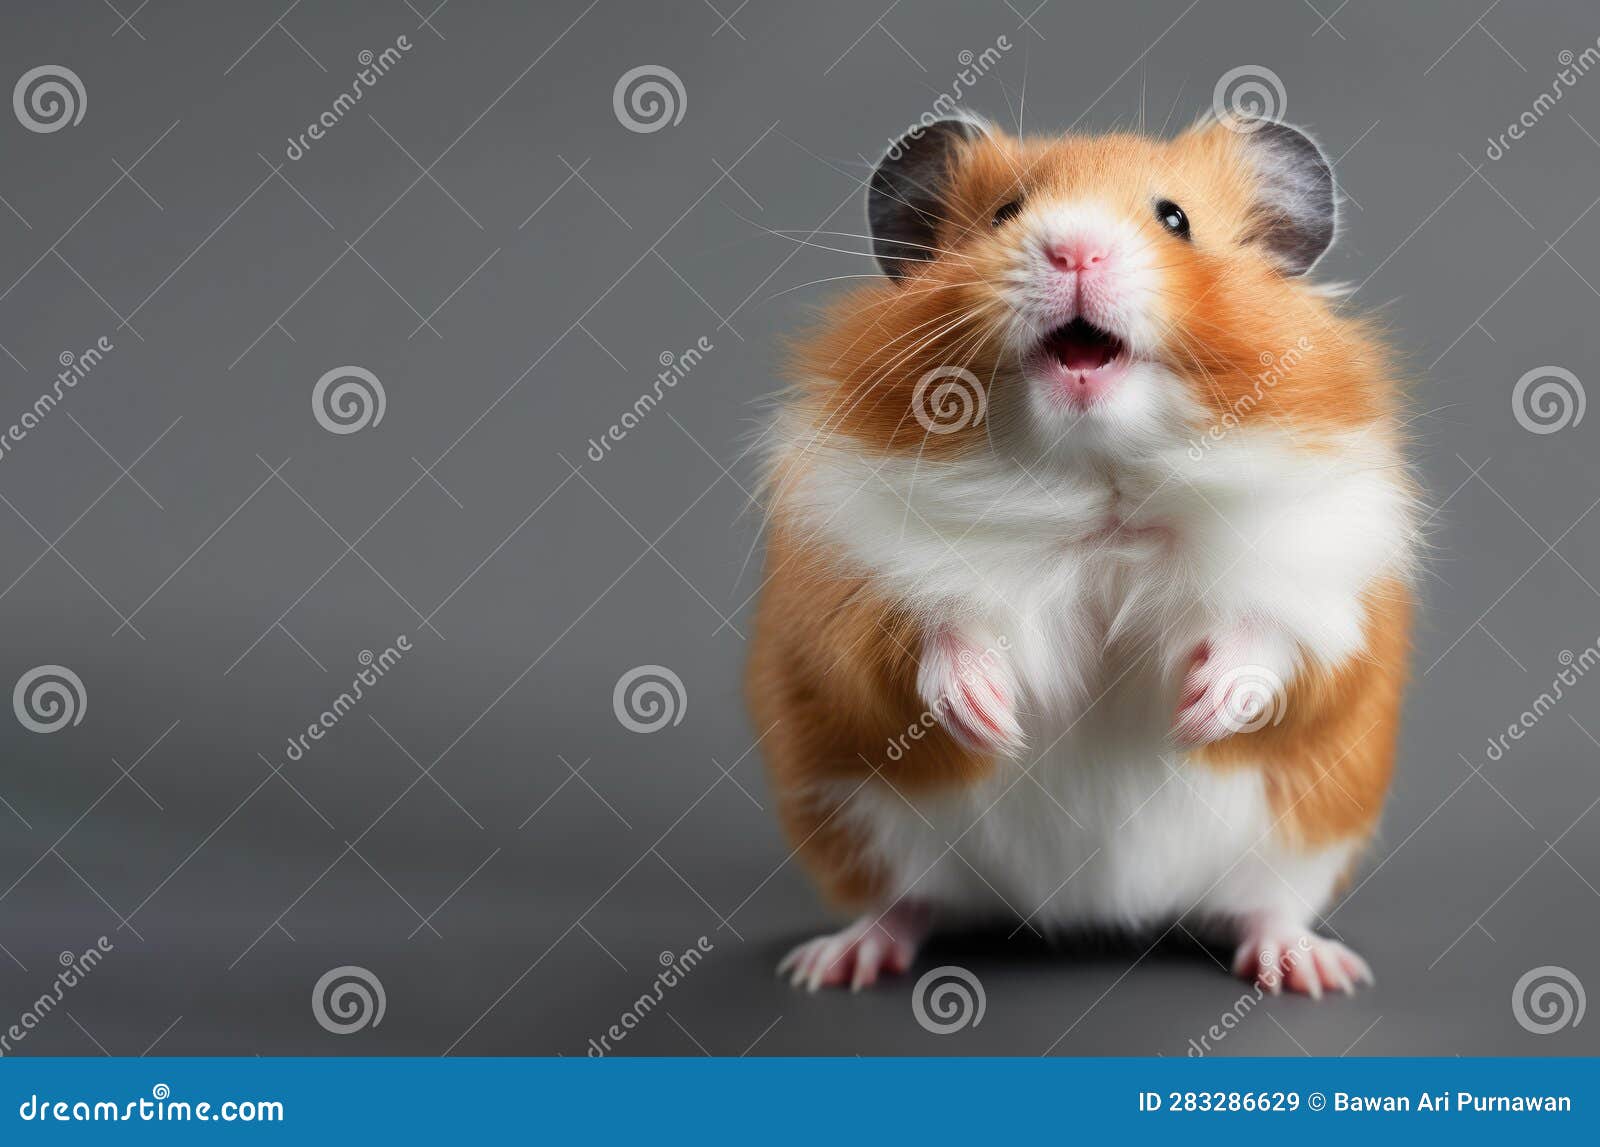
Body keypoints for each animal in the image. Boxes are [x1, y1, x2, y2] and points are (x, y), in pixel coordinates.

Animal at [747, 111, 1418, 998]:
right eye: (1004, 212)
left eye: (1175, 218)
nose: (1074, 250)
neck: (1100, 494)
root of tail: (1077, 910)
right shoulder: (850, 583)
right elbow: (931, 637)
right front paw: (991, 720)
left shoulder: (1324, 585)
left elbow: (1265, 643)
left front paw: (1196, 710)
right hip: (855, 828)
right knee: (908, 903)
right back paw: (834, 963)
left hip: (1302, 846)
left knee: (1265, 907)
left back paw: (1314, 969)